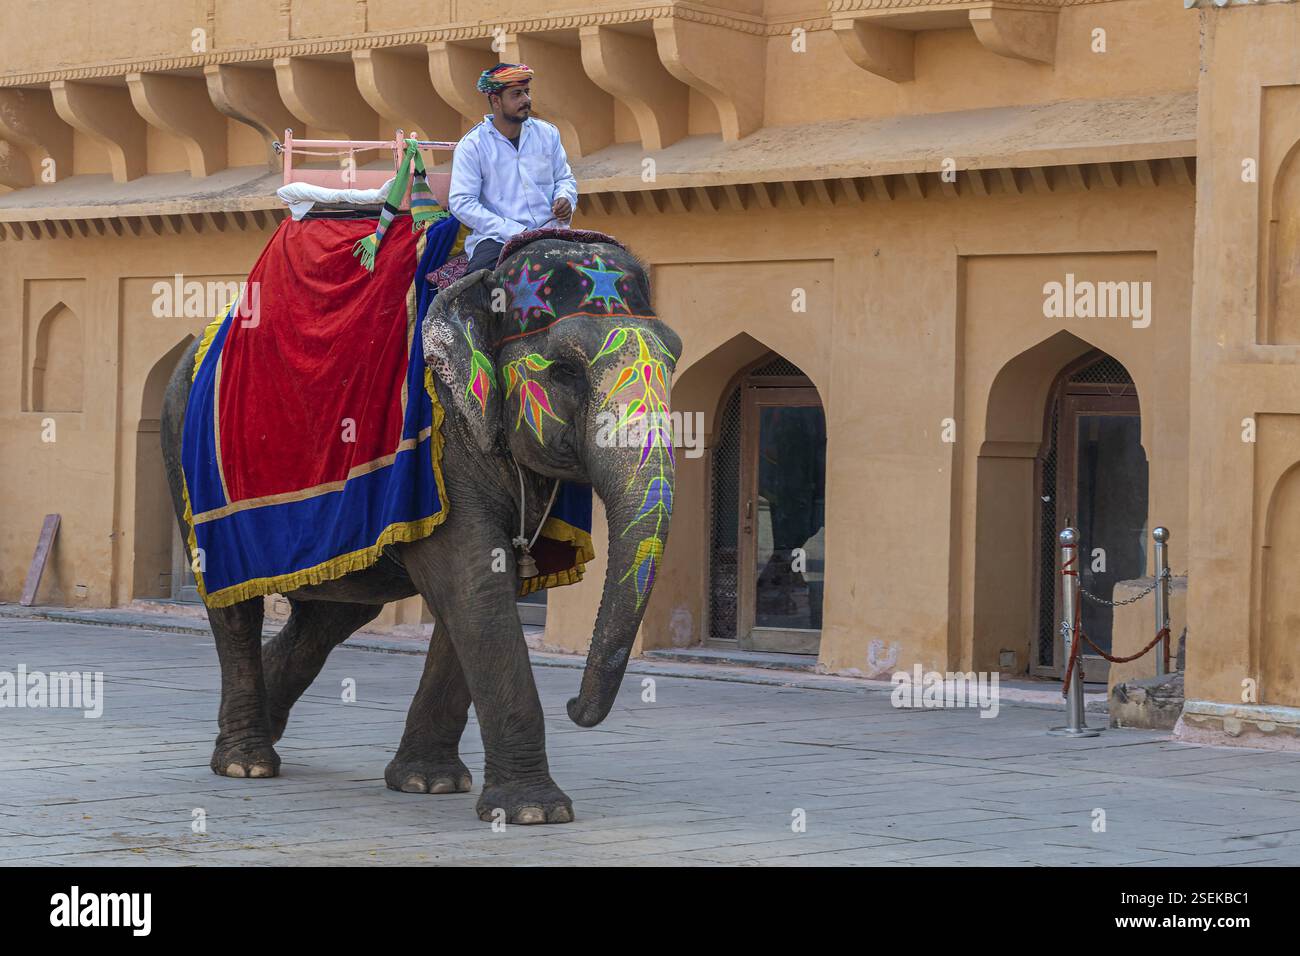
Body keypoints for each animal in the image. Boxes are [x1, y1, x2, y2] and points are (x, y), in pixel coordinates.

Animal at [160, 232, 681, 825]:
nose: (573, 705)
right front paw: (533, 813)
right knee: (234, 607)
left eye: (675, 358)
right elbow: (472, 583)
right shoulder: (442, 441)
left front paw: (428, 784)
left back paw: (262, 729)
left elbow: (484, 587)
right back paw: (245, 764)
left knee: (331, 614)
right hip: (185, 450)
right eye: (565, 371)